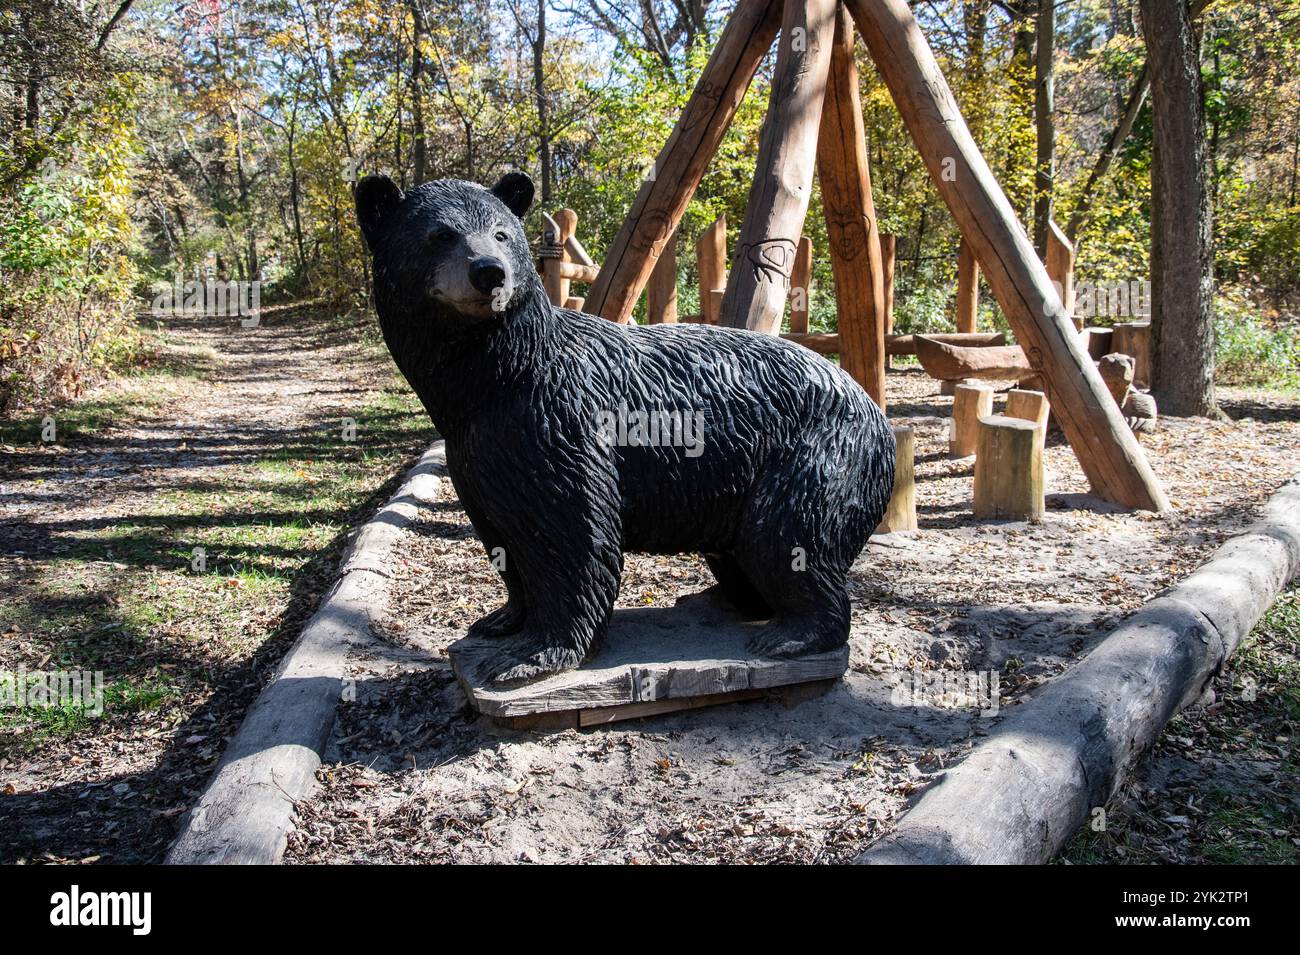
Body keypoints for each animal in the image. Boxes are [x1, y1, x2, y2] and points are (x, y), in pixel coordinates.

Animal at [355, 172, 895, 685]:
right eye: (440, 235)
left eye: (502, 233)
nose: (490, 271)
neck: (498, 381)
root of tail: (874, 409)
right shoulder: (475, 453)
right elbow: (501, 535)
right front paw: (500, 620)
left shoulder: (562, 422)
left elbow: (574, 531)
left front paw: (532, 655)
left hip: (820, 452)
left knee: (787, 533)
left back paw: (792, 634)